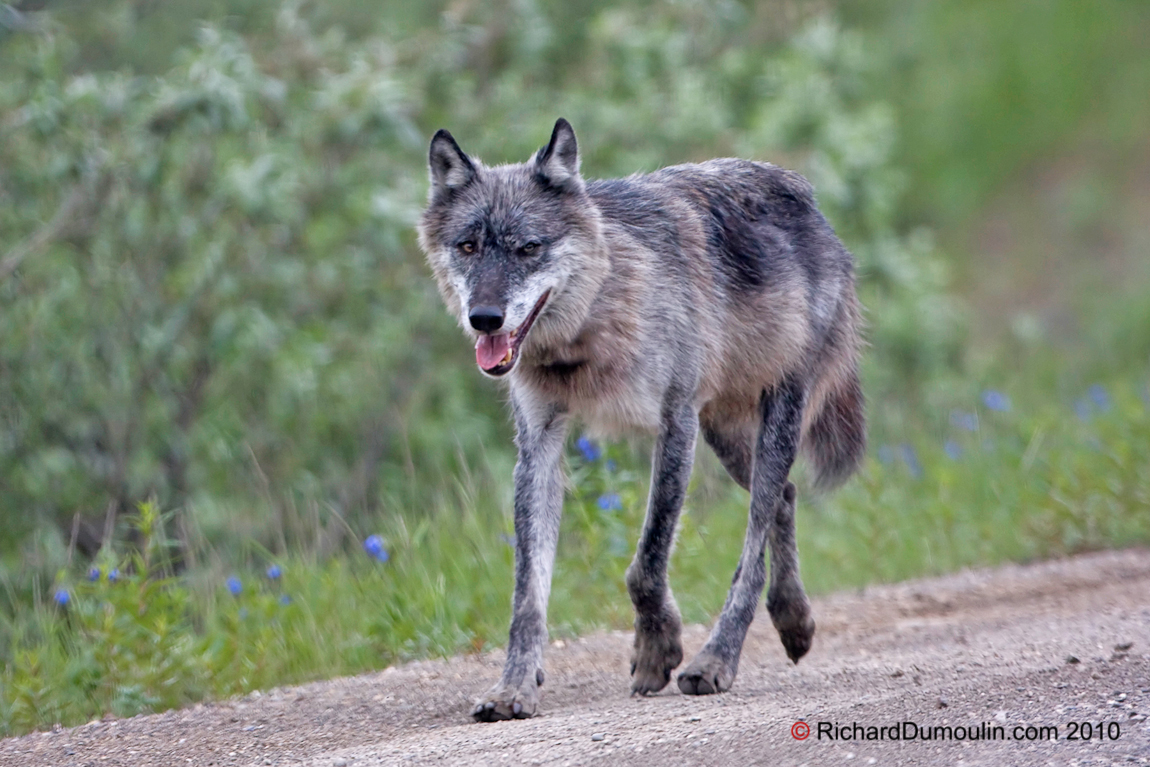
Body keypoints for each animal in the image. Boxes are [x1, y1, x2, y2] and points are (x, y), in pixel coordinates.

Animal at [417, 118, 865, 721]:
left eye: (528, 248)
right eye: (468, 247)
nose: (484, 318)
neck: (593, 321)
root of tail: (811, 203)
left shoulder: (675, 423)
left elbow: (647, 562)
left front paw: (658, 651)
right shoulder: (538, 446)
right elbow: (527, 594)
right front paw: (514, 688)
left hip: (772, 418)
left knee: (754, 542)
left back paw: (716, 660)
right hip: (725, 434)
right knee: (785, 499)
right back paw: (793, 620)